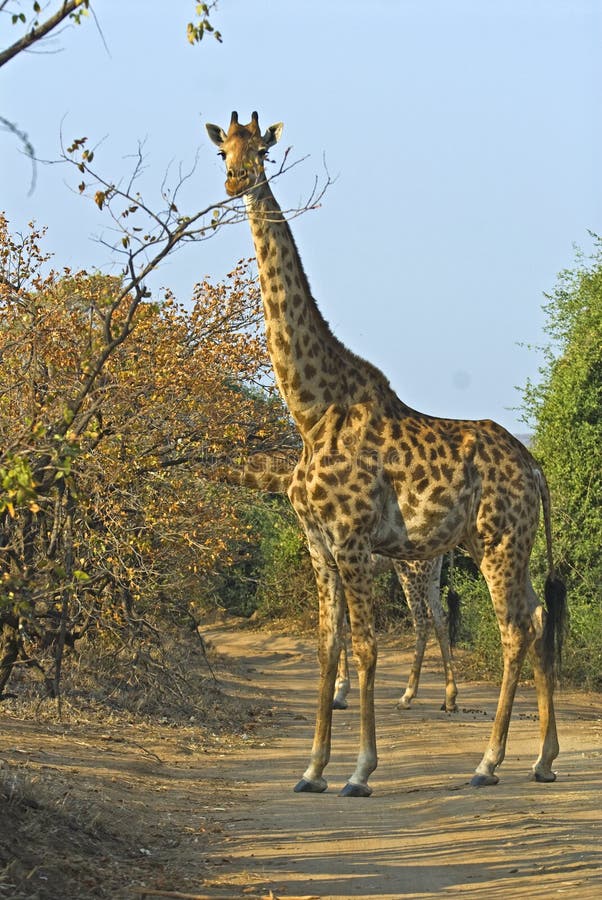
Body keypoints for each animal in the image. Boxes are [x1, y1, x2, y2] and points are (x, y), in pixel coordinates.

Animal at [215, 455, 460, 712]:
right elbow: (340, 627)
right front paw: (339, 690)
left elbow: (342, 628)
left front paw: (339, 693)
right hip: (433, 570)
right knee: (441, 618)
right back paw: (449, 698)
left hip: (411, 567)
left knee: (422, 621)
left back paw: (407, 695)